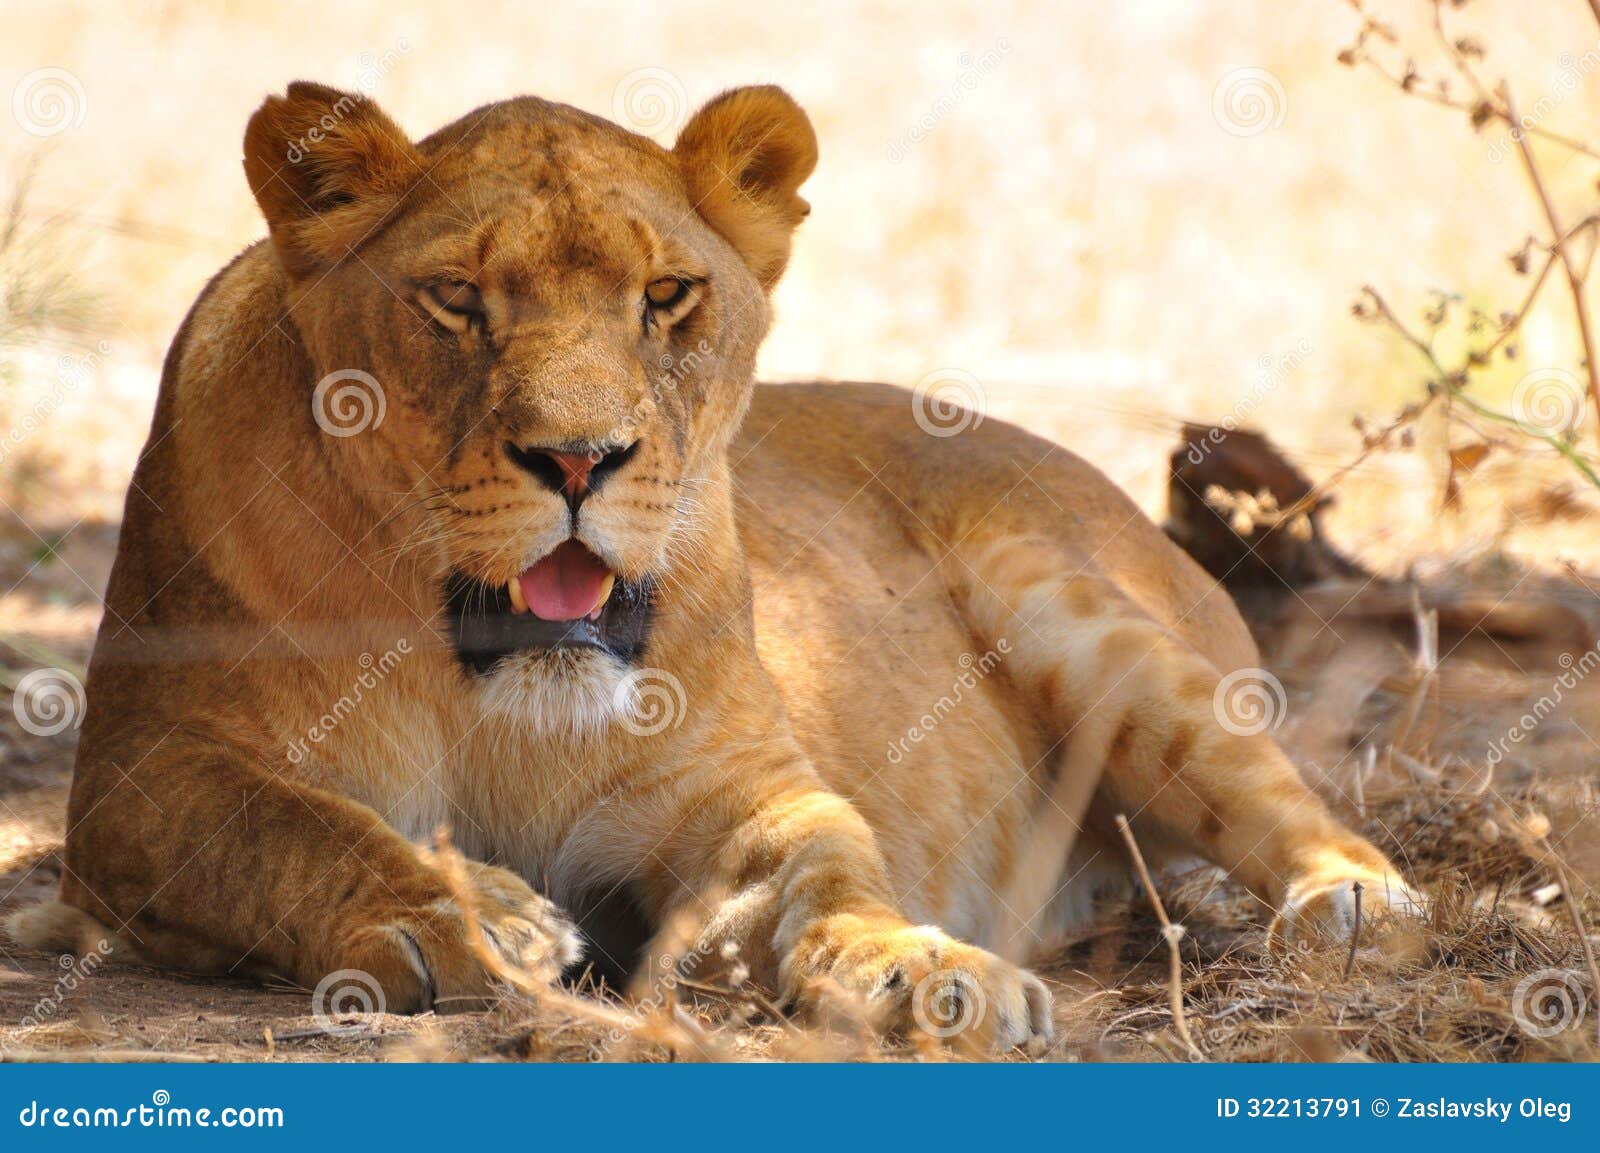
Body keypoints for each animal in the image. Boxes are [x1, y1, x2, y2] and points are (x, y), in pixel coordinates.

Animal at [7, 82, 1418, 1052]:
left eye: (667, 296)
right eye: (456, 298)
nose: (578, 460)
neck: (496, 688)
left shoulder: (744, 794)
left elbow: (834, 874)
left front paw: (927, 969)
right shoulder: (136, 770)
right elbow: (284, 823)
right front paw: (467, 916)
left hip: (1083, 615)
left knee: (1283, 800)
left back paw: (1357, 907)